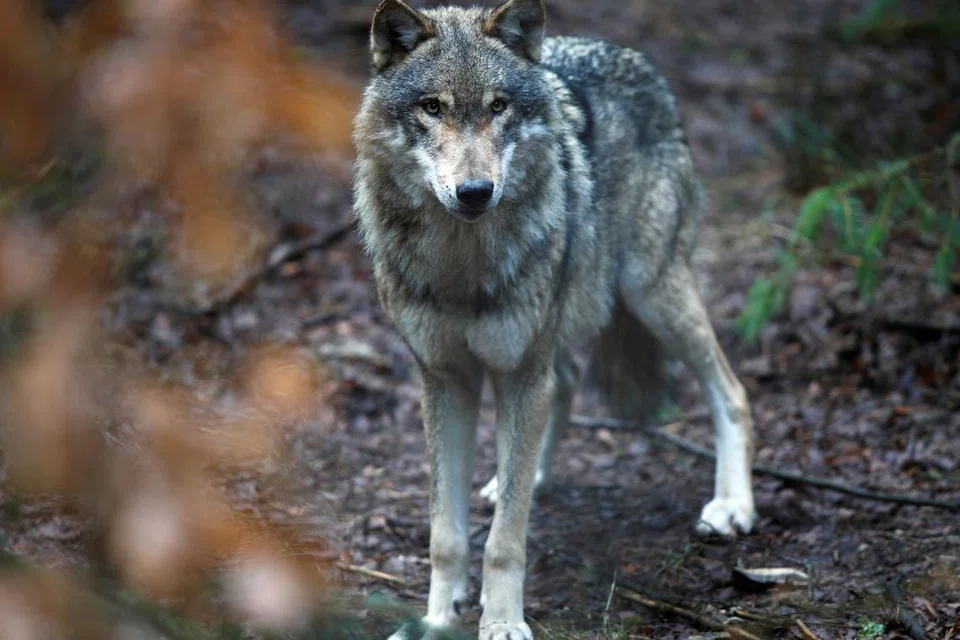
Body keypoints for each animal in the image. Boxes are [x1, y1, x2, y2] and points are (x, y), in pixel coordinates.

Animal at [352, 0, 756, 637]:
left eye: (498, 106)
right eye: (432, 107)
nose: (475, 192)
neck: (460, 263)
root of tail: (637, 59)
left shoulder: (518, 370)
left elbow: (504, 542)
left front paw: (501, 622)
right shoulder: (444, 378)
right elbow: (446, 533)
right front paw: (438, 620)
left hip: (650, 293)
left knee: (731, 390)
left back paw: (733, 506)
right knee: (561, 389)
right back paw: (513, 481)